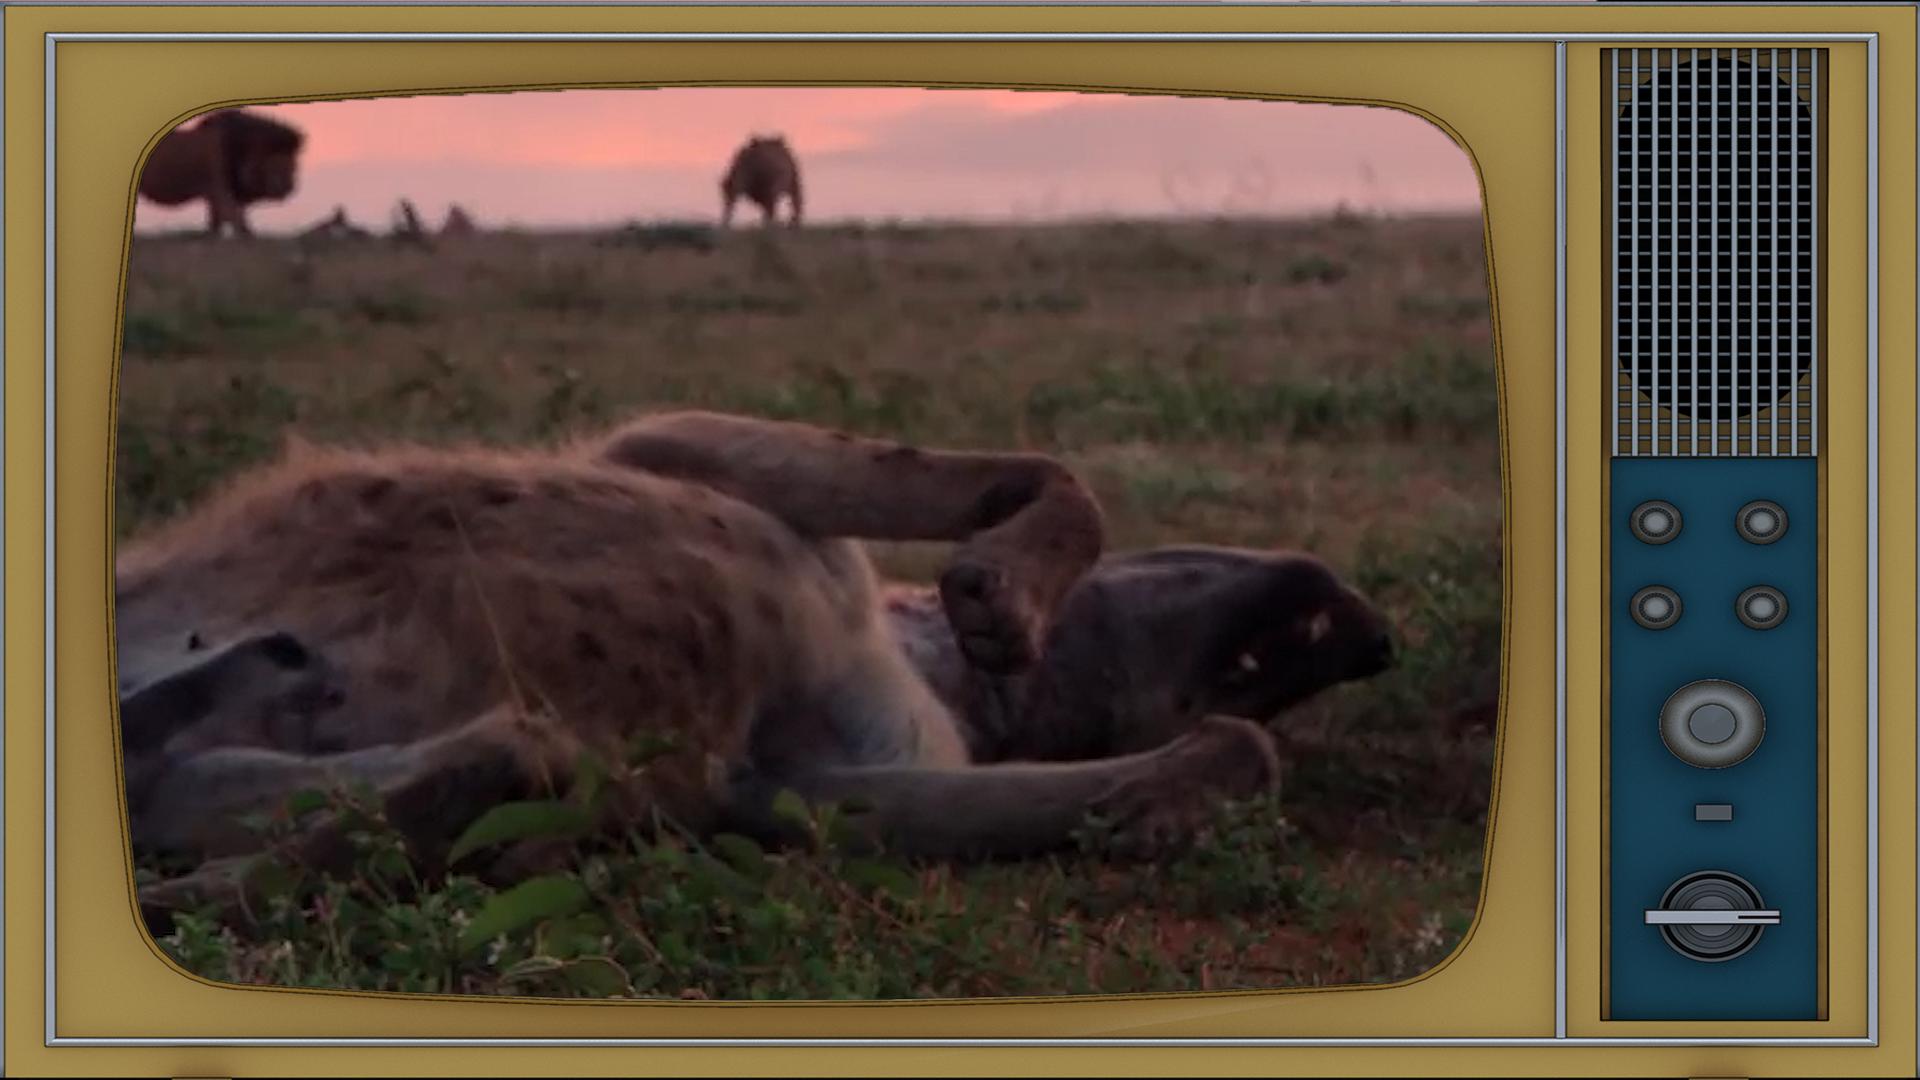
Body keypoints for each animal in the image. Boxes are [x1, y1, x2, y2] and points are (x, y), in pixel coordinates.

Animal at [116, 412, 1393, 921]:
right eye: (1266, 650)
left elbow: (1230, 756)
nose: (1368, 629)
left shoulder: (792, 778)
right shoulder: (665, 445)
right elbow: (1034, 473)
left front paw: (1150, 802)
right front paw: (1002, 588)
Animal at [137, 109, 305, 238]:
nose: (288, 187)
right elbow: (237, 220)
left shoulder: (214, 196)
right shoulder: (220, 189)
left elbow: (216, 224)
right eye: (272, 162)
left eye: (293, 164)